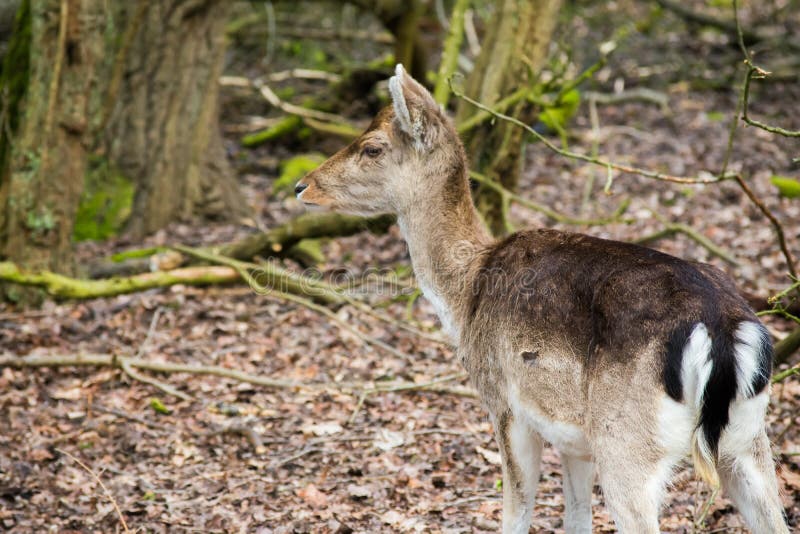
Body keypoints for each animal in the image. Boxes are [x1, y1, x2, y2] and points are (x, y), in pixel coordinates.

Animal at [294, 64, 789, 533]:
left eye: (372, 147)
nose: (301, 185)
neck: (466, 292)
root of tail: (722, 332)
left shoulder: (504, 404)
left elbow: (516, 511)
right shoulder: (575, 440)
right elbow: (576, 519)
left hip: (626, 443)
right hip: (747, 442)